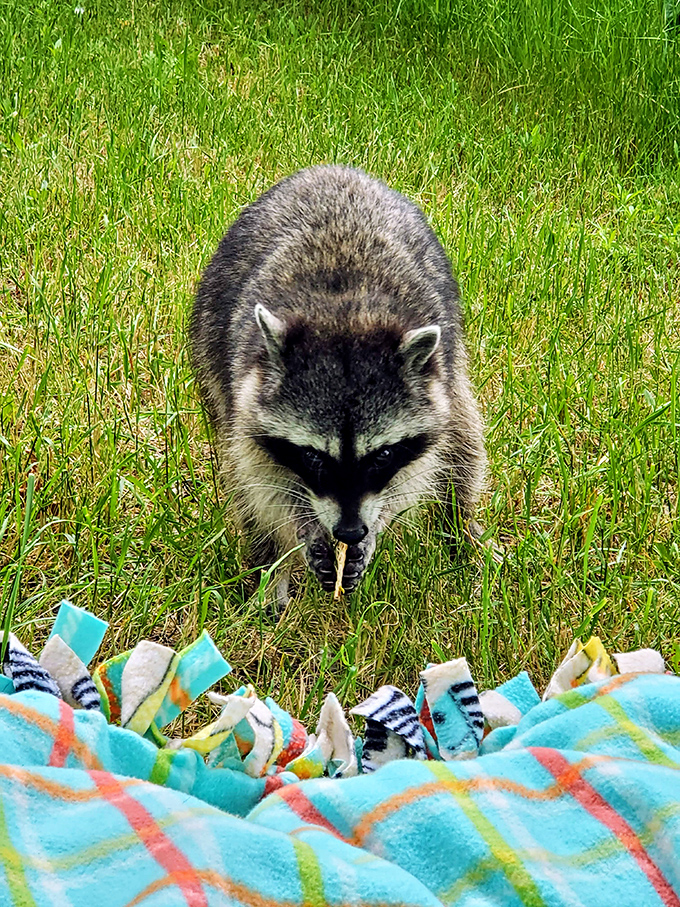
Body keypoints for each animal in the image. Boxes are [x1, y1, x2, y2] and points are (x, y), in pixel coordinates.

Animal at [190, 165, 487, 599]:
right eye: (313, 456)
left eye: (382, 455)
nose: (350, 532)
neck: (343, 315)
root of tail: (331, 170)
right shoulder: (244, 393)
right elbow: (262, 481)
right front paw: (302, 529)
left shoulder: (434, 386)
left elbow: (416, 472)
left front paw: (376, 528)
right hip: (209, 339)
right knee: (244, 487)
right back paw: (268, 571)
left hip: (452, 367)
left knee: (463, 438)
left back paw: (461, 528)